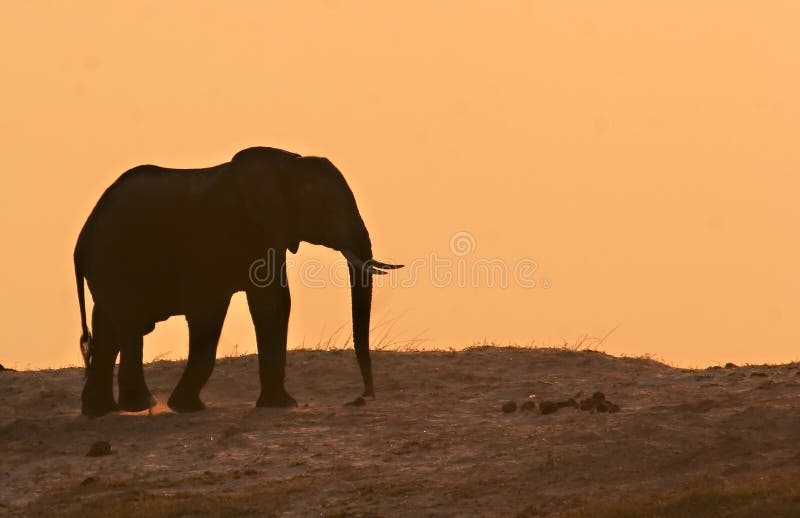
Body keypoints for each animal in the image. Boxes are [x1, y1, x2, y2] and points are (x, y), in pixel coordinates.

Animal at [74, 146, 402, 417]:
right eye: (327, 207)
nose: (365, 396)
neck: (287, 165)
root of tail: (83, 236)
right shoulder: (219, 236)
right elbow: (210, 311)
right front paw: (188, 408)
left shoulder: (268, 235)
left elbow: (273, 302)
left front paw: (279, 405)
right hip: (115, 258)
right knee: (128, 323)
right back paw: (142, 405)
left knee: (107, 325)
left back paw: (100, 411)